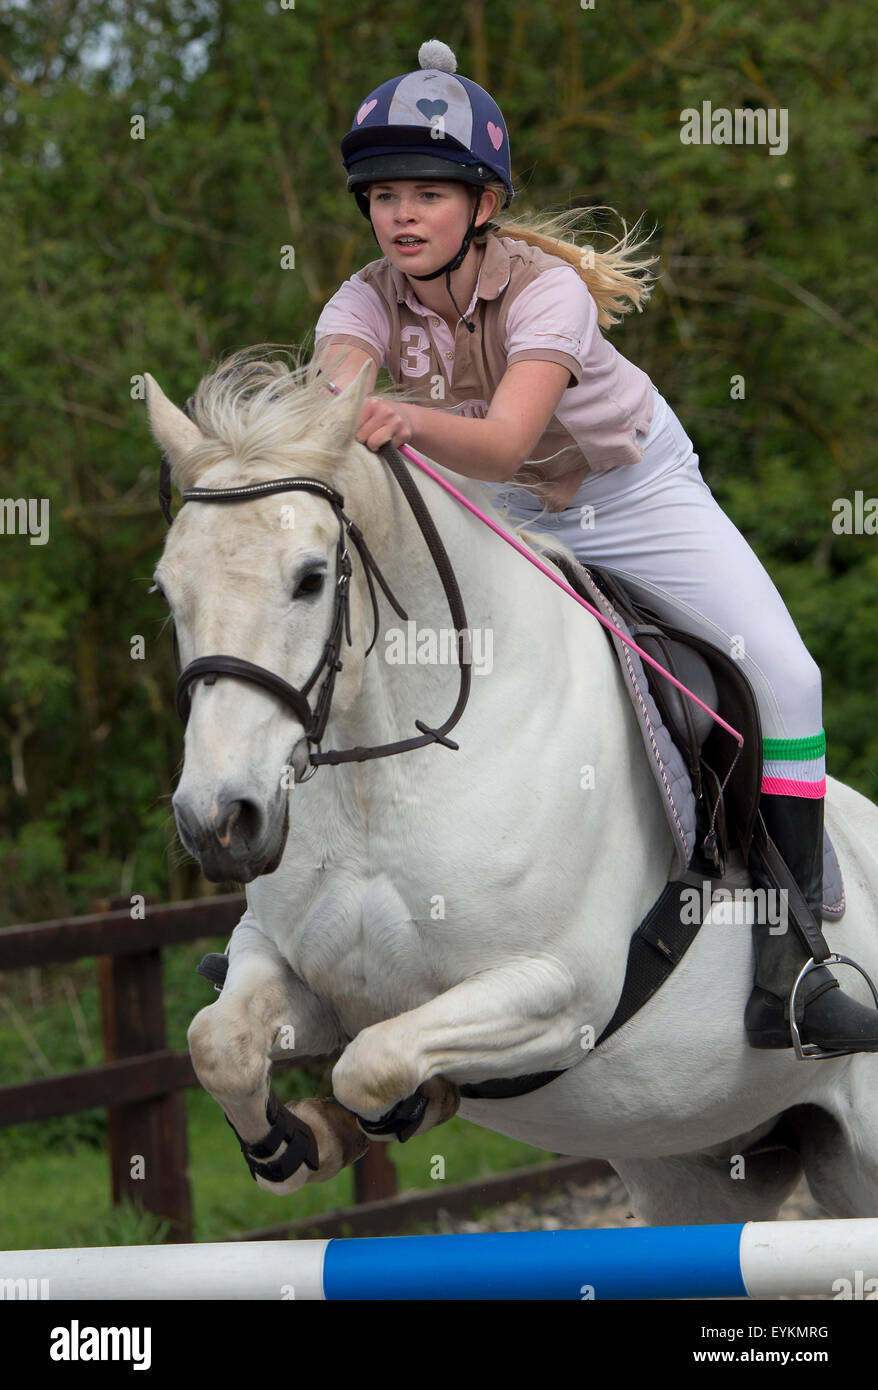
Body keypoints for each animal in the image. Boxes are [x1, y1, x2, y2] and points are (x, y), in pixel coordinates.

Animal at [145, 349, 878, 1225]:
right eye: (166, 589)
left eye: (311, 579)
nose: (219, 821)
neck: (386, 781)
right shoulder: (284, 962)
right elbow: (219, 1044)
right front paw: (302, 1141)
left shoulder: (559, 994)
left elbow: (372, 1062)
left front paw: (393, 1110)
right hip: (695, 1174)